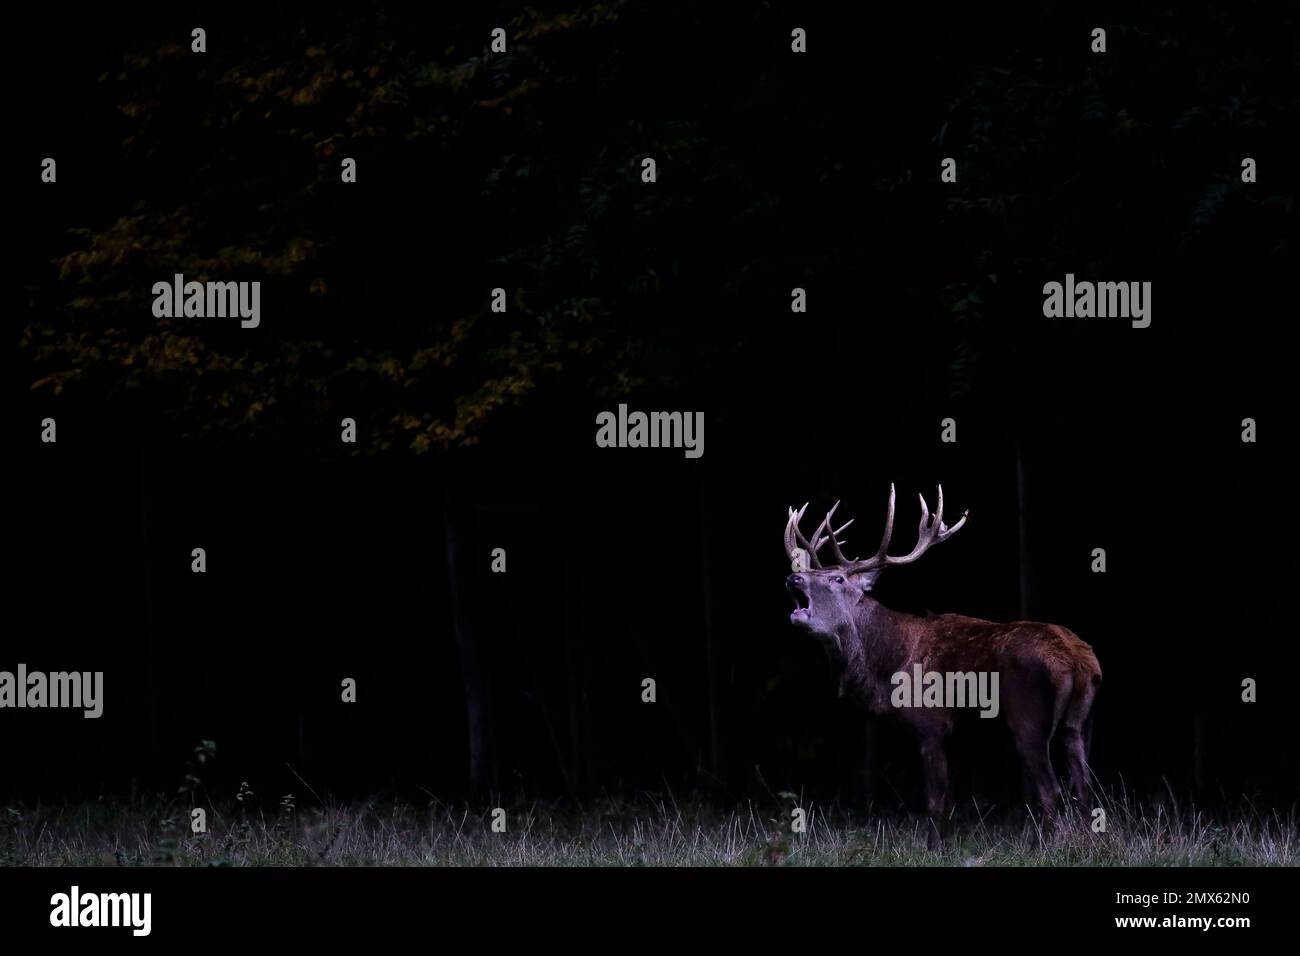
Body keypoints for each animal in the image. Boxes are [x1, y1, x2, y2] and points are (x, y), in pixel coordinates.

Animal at [783, 486, 1101, 849]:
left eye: (836, 578)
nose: (793, 576)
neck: (890, 665)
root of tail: (1077, 660)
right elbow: (950, 800)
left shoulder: (931, 724)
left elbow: (934, 800)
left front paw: (933, 849)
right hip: (1079, 722)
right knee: (1084, 787)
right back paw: (1091, 845)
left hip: (1028, 718)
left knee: (1051, 789)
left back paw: (1042, 848)